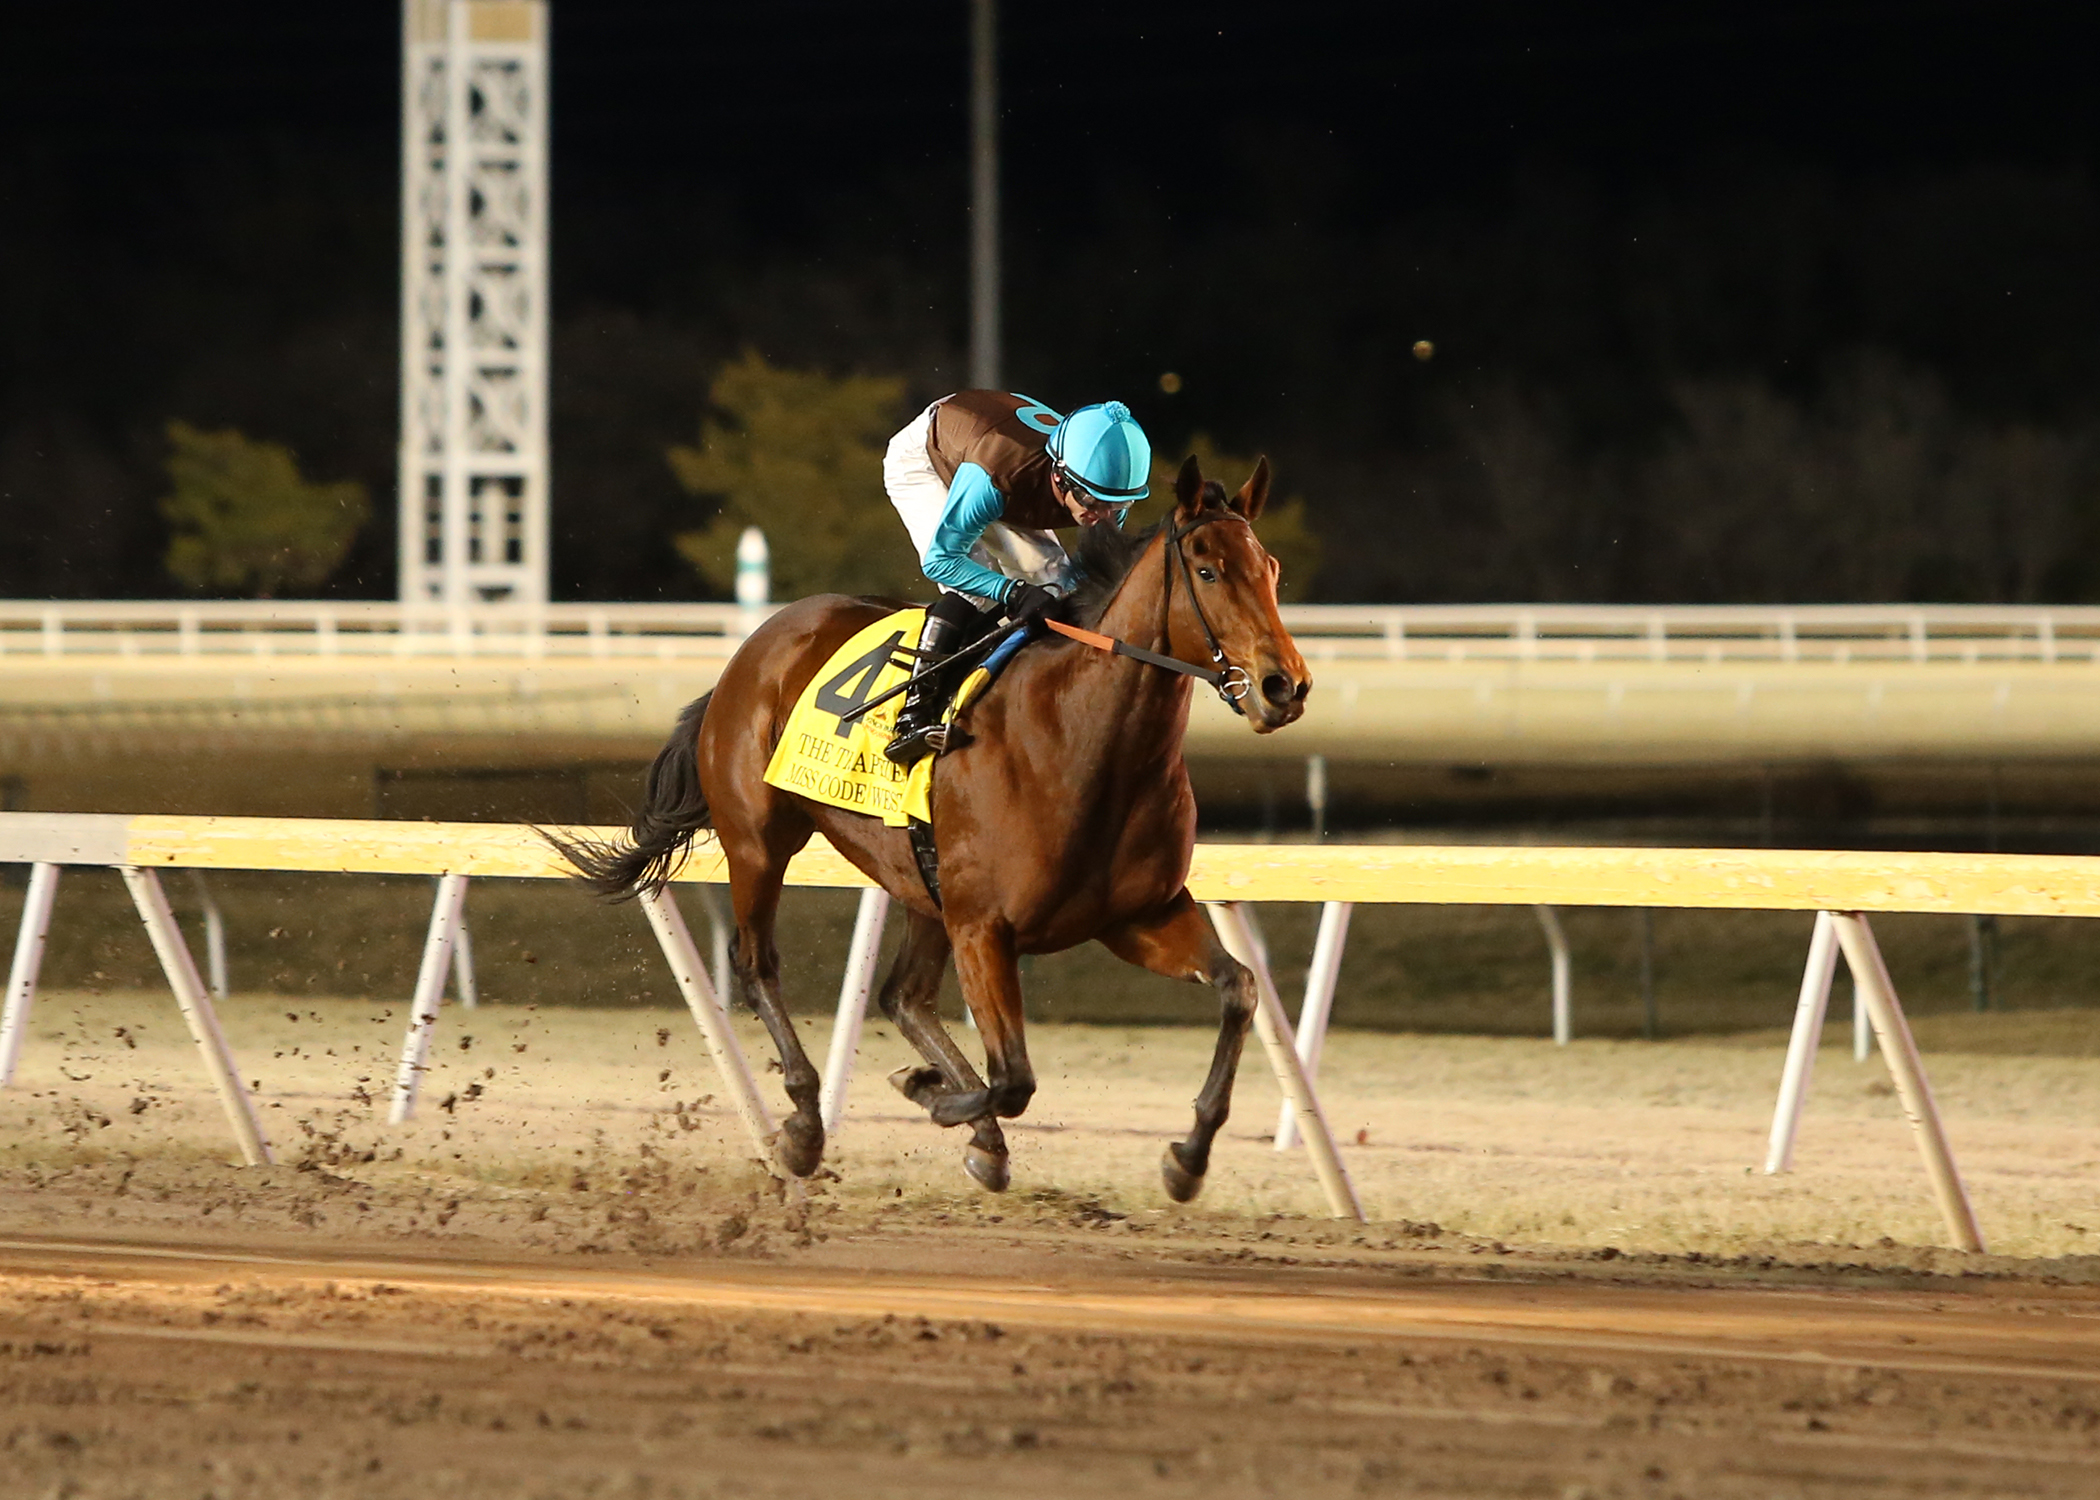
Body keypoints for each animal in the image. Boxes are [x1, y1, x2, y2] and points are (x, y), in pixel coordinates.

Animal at [551, 454, 1310, 1201]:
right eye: (1208, 571)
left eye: (1272, 569)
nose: (1286, 686)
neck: (1082, 741)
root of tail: (760, 641)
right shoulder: (983, 927)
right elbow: (1014, 1078)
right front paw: (929, 1092)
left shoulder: (1138, 915)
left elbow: (1239, 989)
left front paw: (1189, 1155)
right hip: (759, 841)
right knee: (757, 962)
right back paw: (804, 1126)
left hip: (921, 879)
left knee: (904, 996)